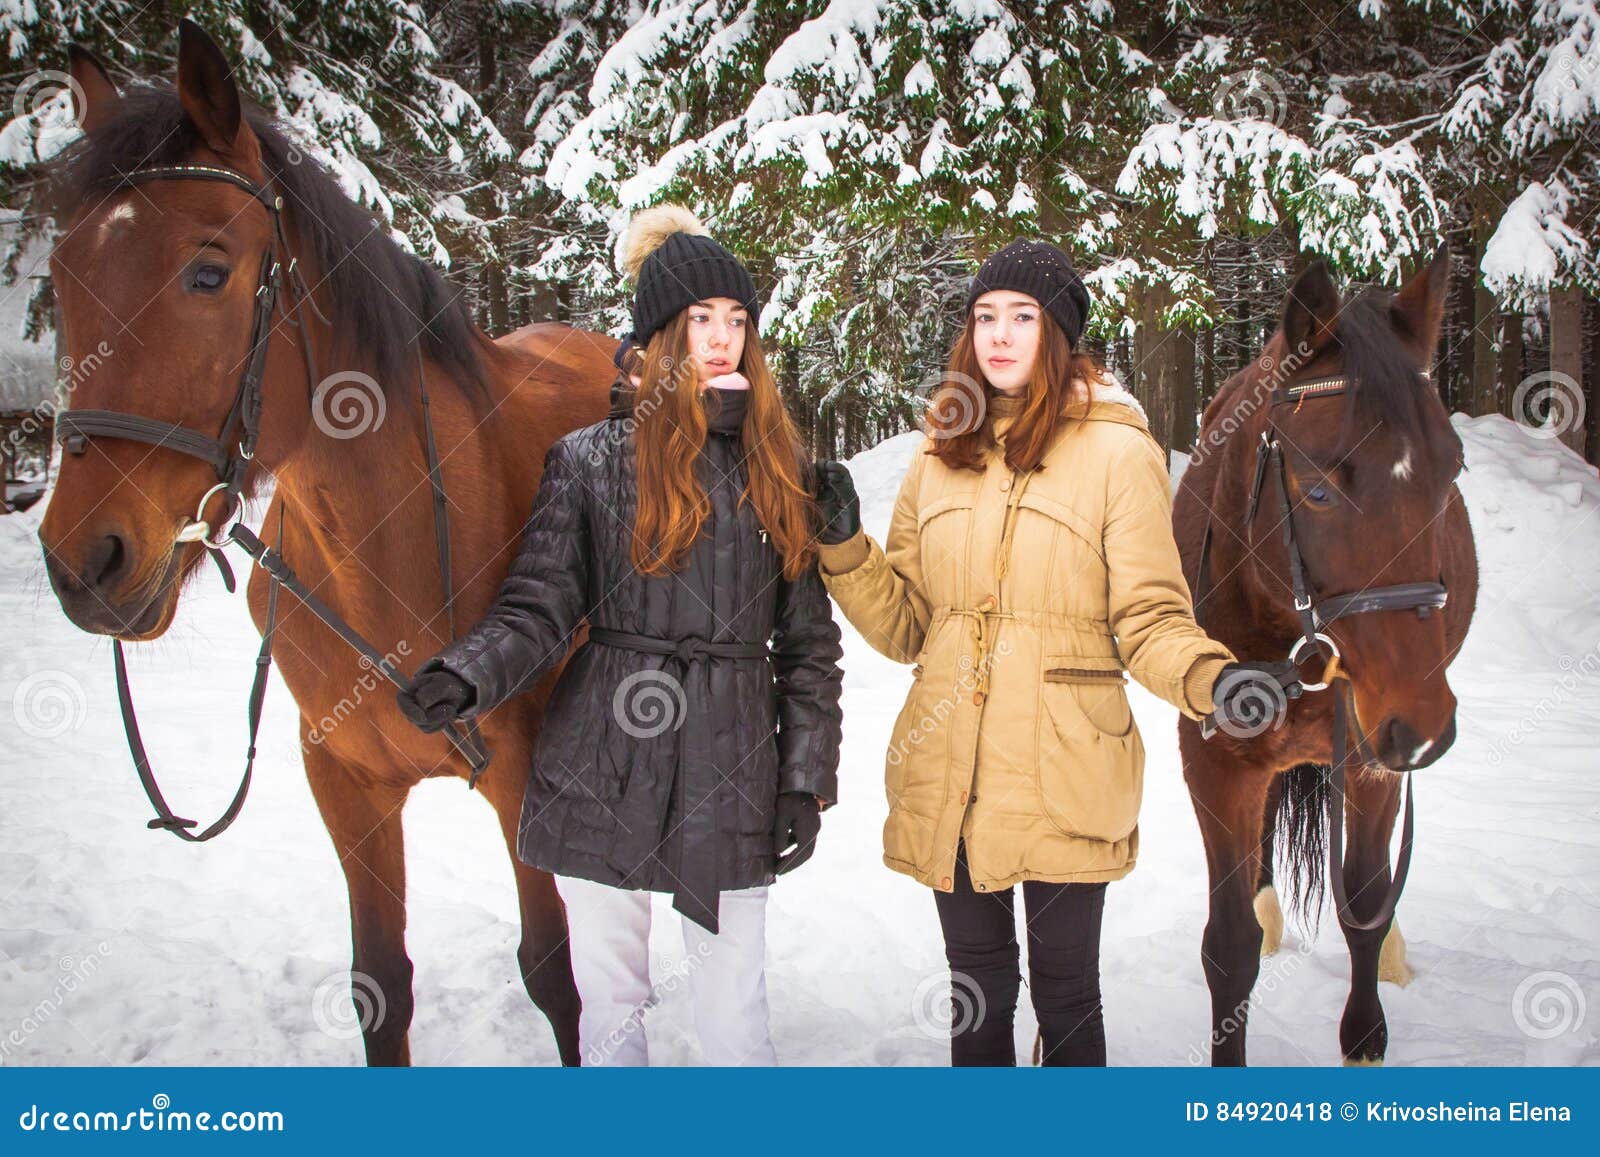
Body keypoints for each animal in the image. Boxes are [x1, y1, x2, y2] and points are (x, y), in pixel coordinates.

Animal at [34, 20, 617, 1065]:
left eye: (209, 271)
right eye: (62, 276)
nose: (84, 563)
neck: (384, 549)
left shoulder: (517, 778)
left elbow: (551, 970)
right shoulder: (343, 782)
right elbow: (379, 984)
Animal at [1173, 253, 1479, 1066]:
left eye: (1452, 473)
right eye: (1315, 489)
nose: (1424, 725)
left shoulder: (1373, 758)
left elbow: (1366, 904)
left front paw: (1364, 1036)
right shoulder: (1215, 759)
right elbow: (1228, 947)